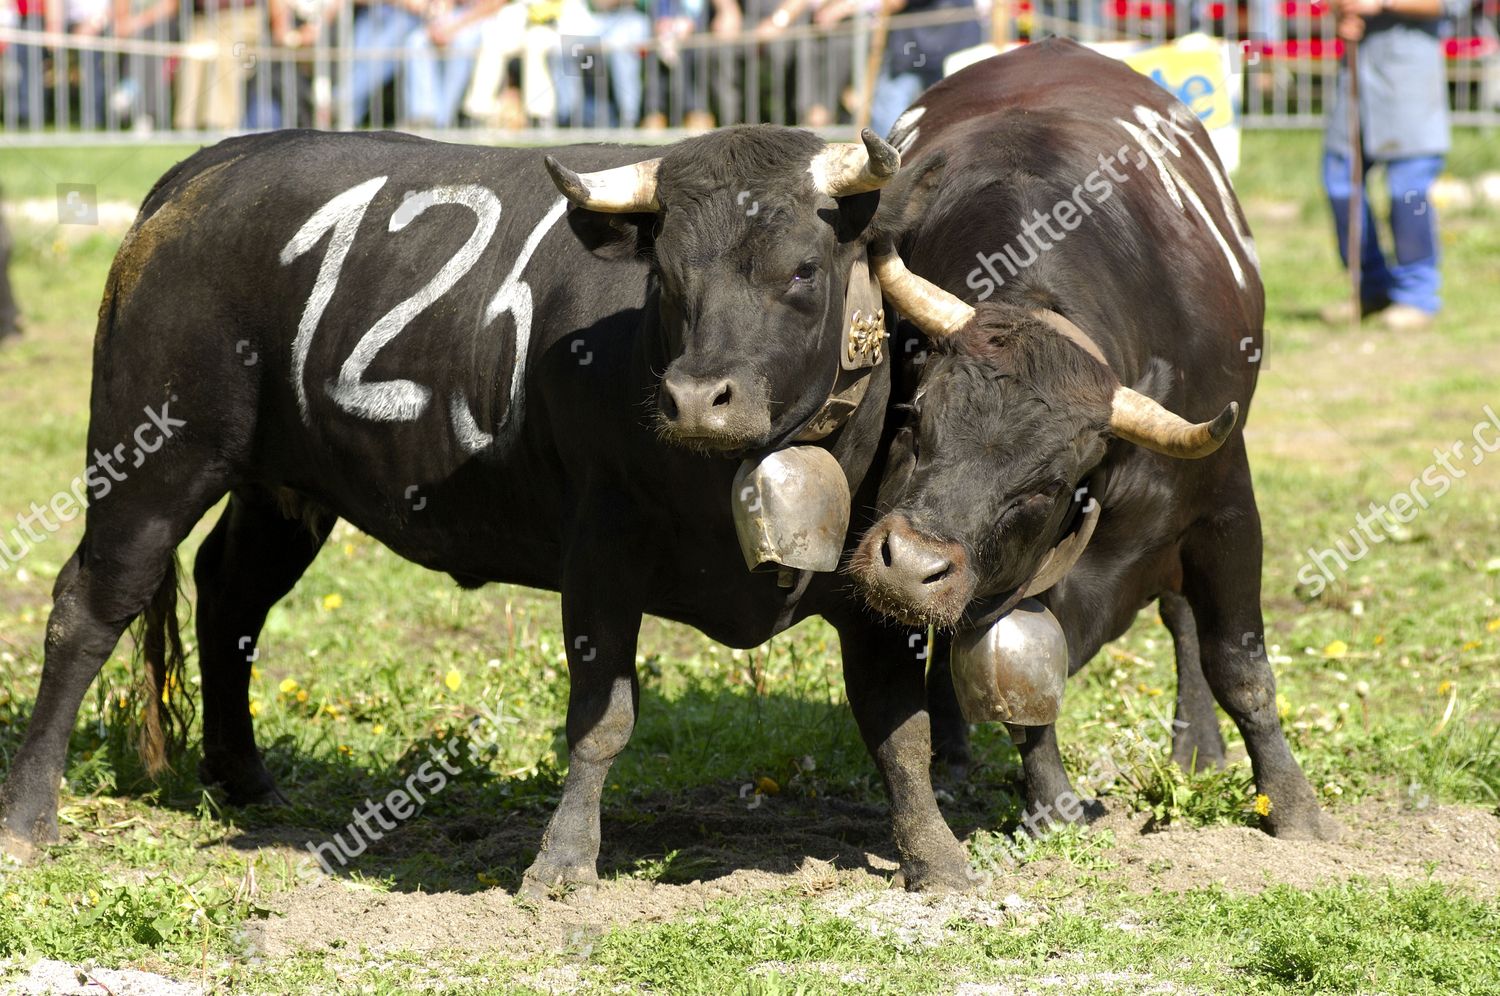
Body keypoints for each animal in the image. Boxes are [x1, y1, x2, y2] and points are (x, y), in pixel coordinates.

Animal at [0, 125, 984, 894]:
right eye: (667, 276)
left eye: (802, 271)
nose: (698, 399)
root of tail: (210, 168)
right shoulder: (600, 554)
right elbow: (603, 717)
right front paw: (563, 861)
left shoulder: (884, 574)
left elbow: (899, 728)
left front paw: (937, 857)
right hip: (149, 460)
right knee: (88, 610)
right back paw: (30, 817)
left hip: (281, 489)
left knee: (230, 598)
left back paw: (244, 779)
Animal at [850, 40, 1338, 840]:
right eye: (914, 416)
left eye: (1047, 483)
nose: (909, 566)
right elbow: (1016, 680)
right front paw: (1051, 805)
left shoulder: (1228, 508)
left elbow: (1240, 666)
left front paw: (1295, 807)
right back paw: (952, 756)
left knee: (1182, 623)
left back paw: (1198, 750)